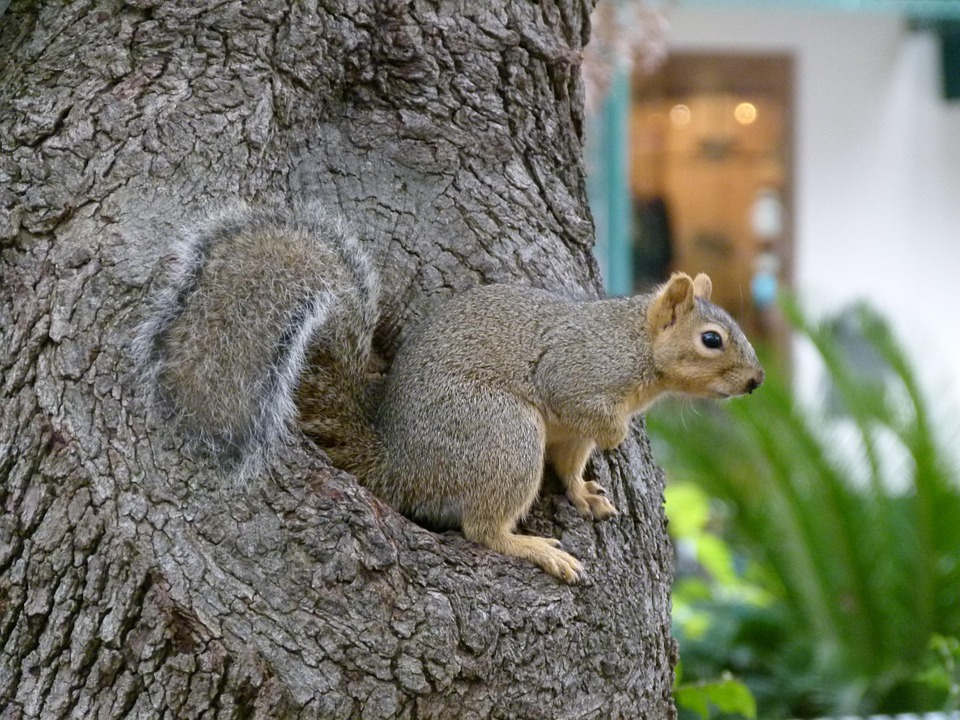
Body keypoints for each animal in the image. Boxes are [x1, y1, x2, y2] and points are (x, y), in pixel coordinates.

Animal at [136, 204, 764, 583]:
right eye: (711, 339)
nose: (757, 382)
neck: (636, 347)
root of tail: (400, 465)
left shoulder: (569, 435)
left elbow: (569, 464)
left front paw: (585, 493)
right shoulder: (576, 376)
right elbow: (585, 411)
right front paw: (616, 436)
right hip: (504, 435)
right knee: (483, 530)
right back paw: (536, 549)